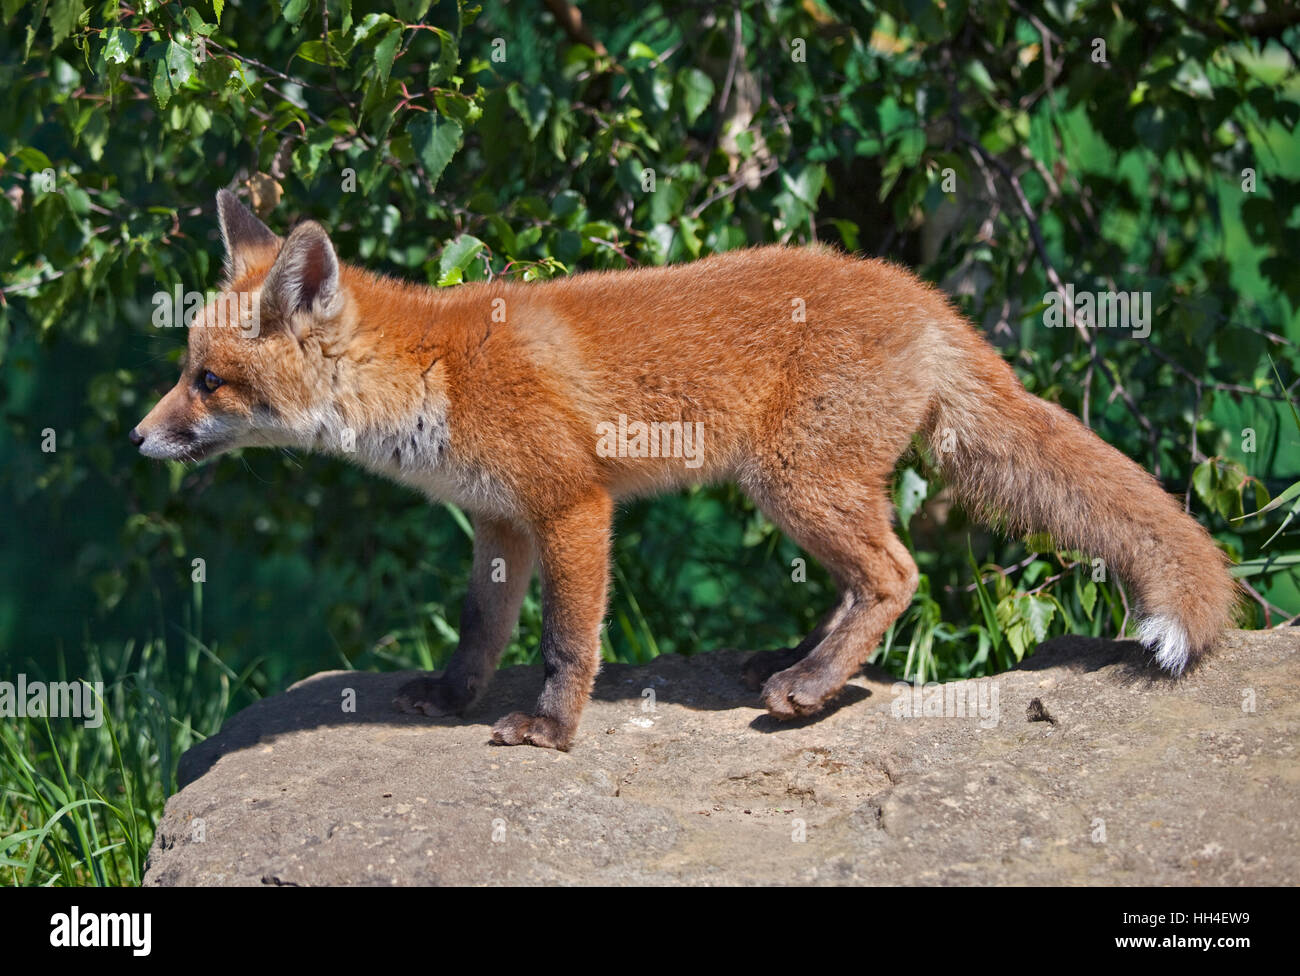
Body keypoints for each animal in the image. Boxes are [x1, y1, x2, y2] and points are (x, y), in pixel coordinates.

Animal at [131, 190, 1238, 750]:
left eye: (207, 381)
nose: (140, 440)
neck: (435, 373)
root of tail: (924, 297)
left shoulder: (573, 507)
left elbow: (566, 642)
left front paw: (550, 729)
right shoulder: (499, 522)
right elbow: (481, 627)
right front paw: (452, 697)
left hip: (798, 486)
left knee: (897, 576)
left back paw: (809, 684)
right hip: (796, 493)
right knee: (863, 585)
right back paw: (798, 660)